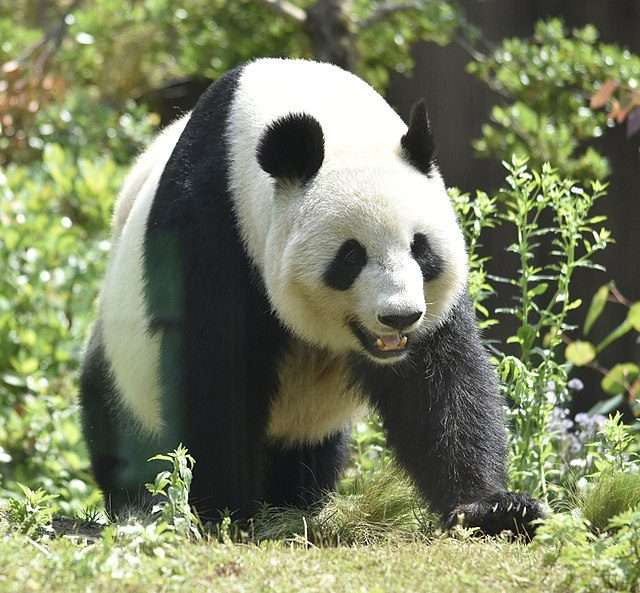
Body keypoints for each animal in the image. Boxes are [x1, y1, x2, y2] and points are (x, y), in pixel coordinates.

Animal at [80, 58, 543, 535]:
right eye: (351, 256)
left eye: (420, 248)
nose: (399, 317)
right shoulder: (212, 224)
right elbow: (215, 370)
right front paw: (225, 510)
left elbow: (438, 382)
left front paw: (492, 508)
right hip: (122, 366)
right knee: (123, 434)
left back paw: (294, 500)